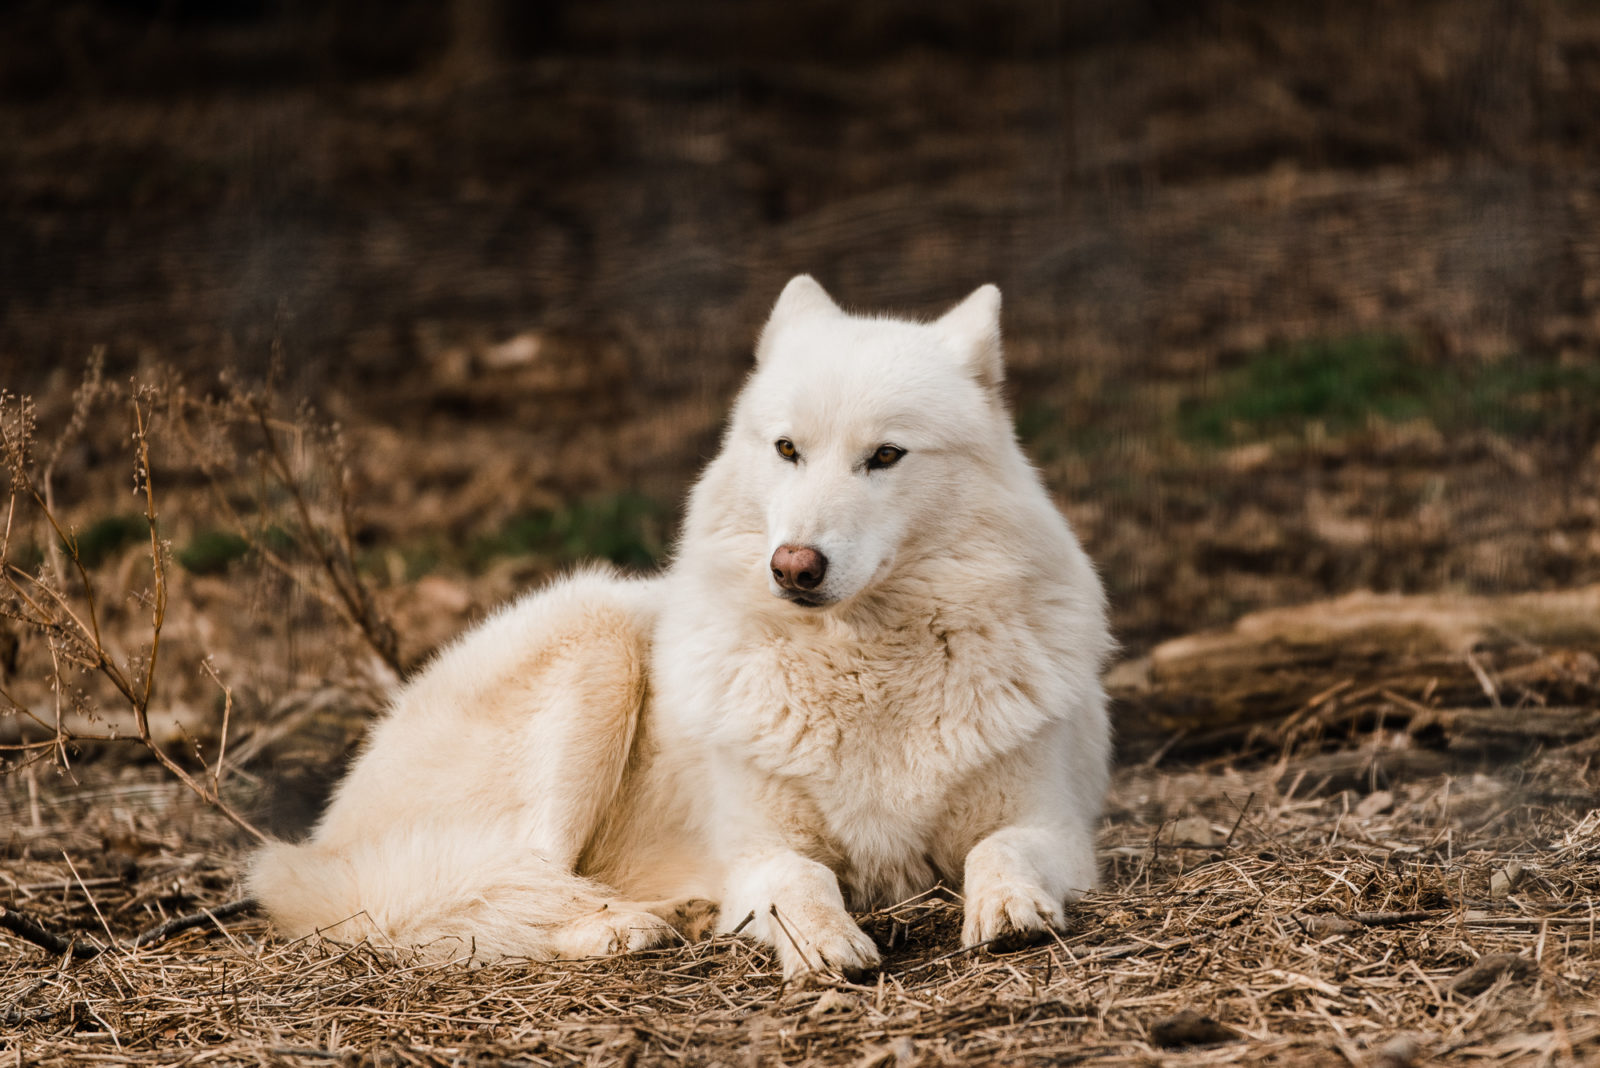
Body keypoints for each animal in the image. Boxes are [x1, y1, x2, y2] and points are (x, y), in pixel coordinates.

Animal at [249, 276, 1113, 977]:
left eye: (886, 456)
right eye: (788, 449)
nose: (794, 566)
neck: (866, 663)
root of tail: (322, 843)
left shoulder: (1053, 826)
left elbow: (1000, 847)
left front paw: (1009, 908)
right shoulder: (759, 844)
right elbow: (799, 878)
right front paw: (820, 940)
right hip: (597, 634)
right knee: (479, 888)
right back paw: (624, 925)